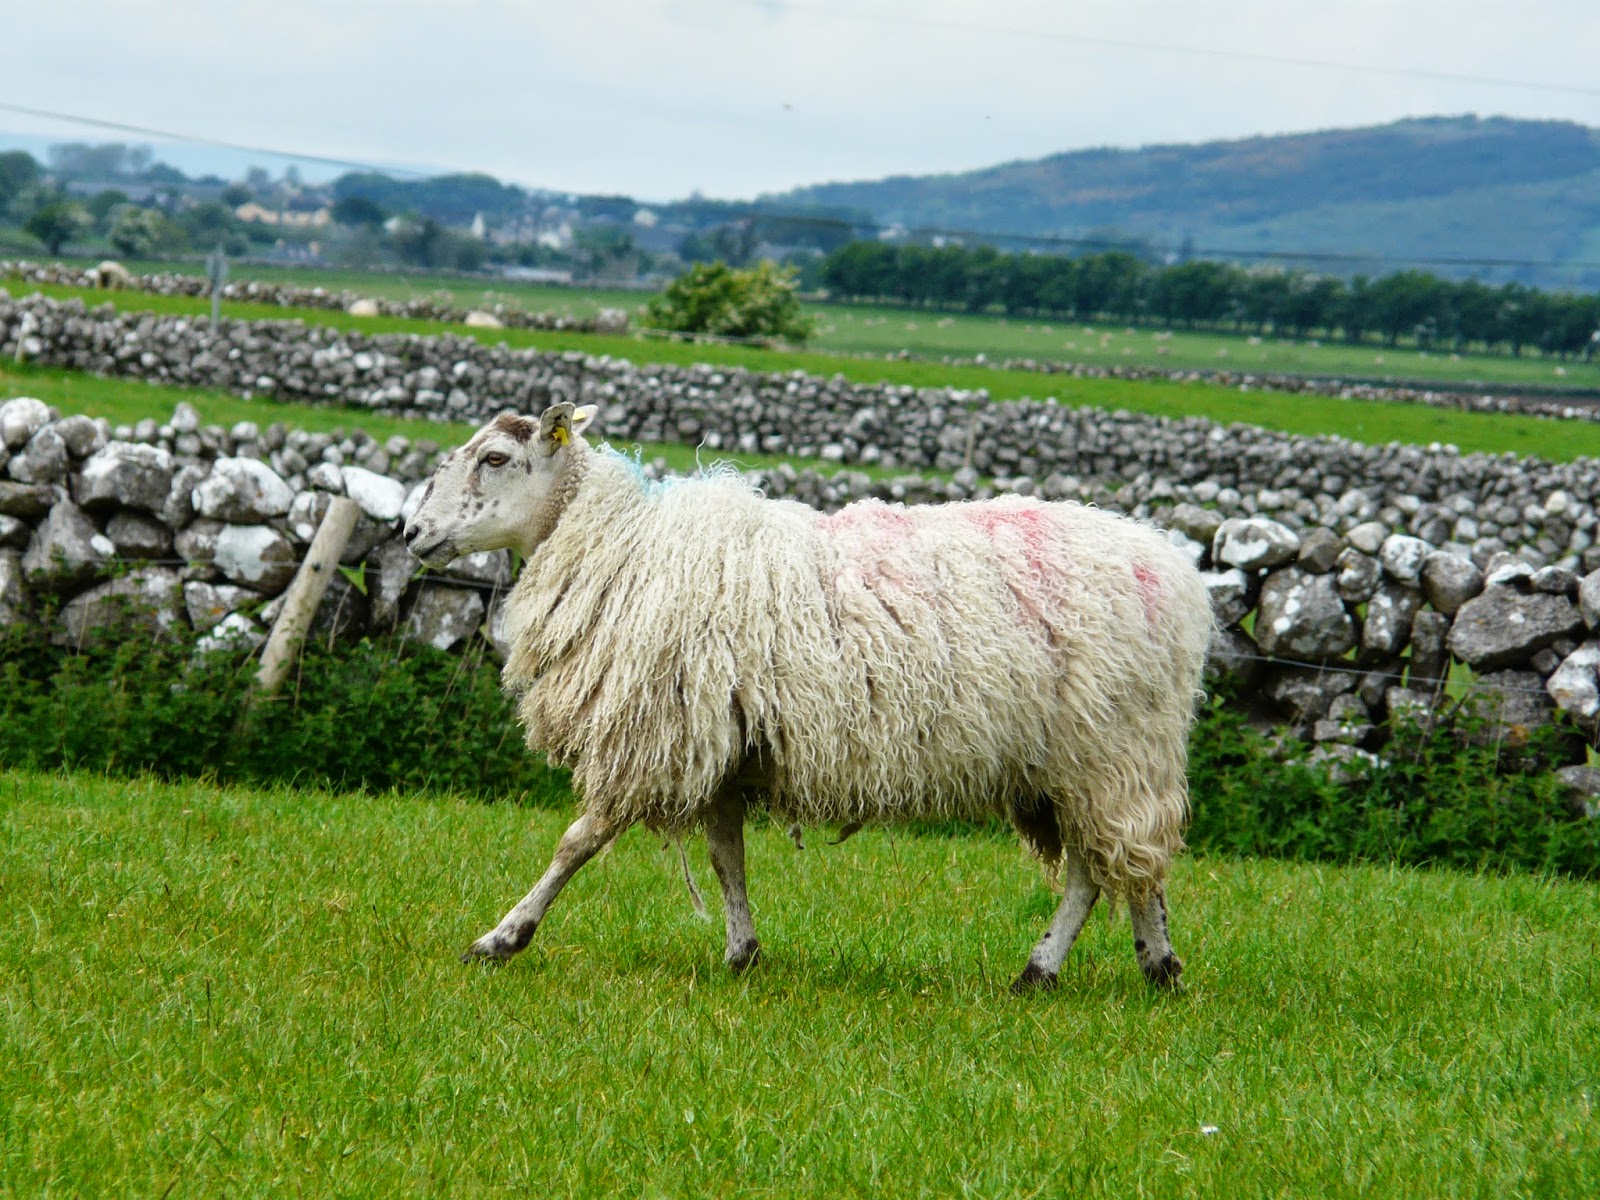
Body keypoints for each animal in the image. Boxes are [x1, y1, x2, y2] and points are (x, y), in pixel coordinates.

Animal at [403, 402, 1213, 991]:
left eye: (495, 458)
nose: (410, 532)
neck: (616, 543)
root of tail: (1177, 569)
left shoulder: (656, 734)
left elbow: (577, 841)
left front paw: (502, 937)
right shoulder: (721, 741)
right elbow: (725, 856)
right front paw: (742, 953)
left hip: (1109, 744)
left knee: (1108, 866)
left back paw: (1067, 968)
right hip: (1082, 760)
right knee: (1116, 867)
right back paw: (1148, 967)